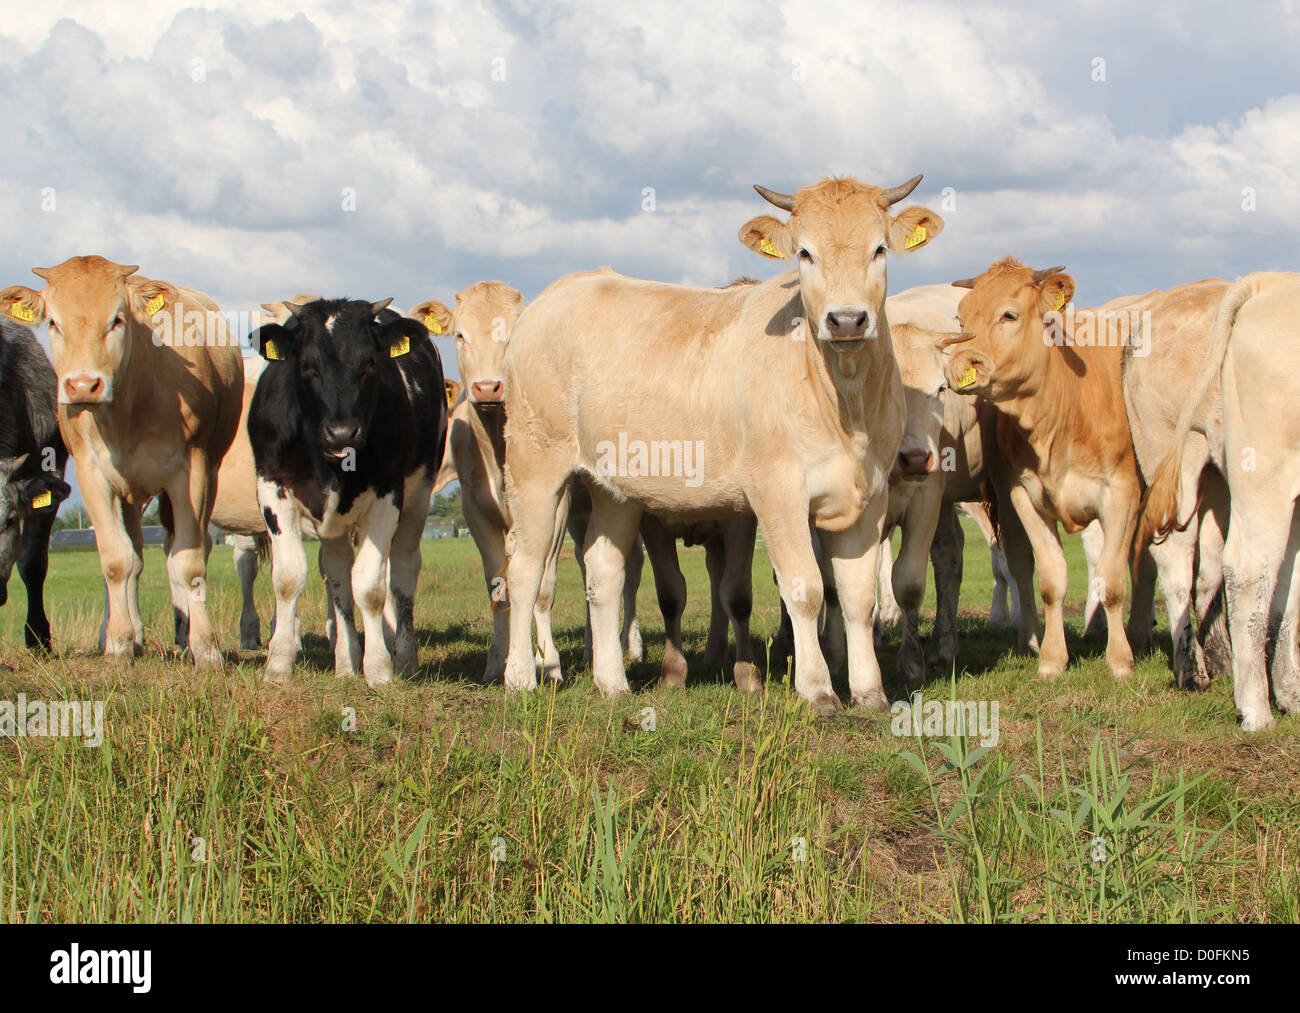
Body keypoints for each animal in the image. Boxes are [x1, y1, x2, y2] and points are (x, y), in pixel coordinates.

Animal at [1, 256, 242, 667]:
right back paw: (134, 635)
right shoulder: (92, 475)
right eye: (53, 322)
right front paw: (118, 644)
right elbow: (117, 561)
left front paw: (206, 647)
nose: (83, 385)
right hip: (130, 494)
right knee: (136, 559)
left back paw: (184, 636)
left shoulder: (191, 472)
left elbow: (189, 561)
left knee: (183, 550)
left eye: (117, 319)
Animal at [248, 298, 445, 685]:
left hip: (419, 495)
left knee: (402, 569)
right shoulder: (271, 487)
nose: (342, 433)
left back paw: (404, 658)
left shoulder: (388, 493)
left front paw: (379, 668)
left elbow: (369, 585)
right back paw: (345, 660)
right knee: (337, 570)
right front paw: (278, 664)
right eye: (306, 365)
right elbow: (288, 577)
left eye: (369, 363)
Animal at [500, 174, 944, 712]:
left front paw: (869, 692)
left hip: (613, 488)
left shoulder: (870, 493)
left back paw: (612, 683)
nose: (846, 320)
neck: (846, 402)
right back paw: (520, 677)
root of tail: (563, 289)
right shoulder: (775, 491)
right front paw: (818, 690)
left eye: (878, 249)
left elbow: (858, 595)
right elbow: (805, 588)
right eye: (805, 253)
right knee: (524, 569)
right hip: (535, 464)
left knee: (602, 572)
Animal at [941, 258, 1143, 681]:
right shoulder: (1024, 496)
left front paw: (1120, 660)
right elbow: (1050, 579)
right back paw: (1030, 639)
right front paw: (1052, 658)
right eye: (961, 317)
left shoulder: (1122, 495)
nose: (959, 365)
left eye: (1009, 315)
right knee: (1018, 566)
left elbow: (1113, 580)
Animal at [1142, 272, 1300, 730]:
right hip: (1258, 475)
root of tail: (1268, 283)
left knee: (1280, 579)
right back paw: (1254, 709)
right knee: (1244, 569)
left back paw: (1288, 694)